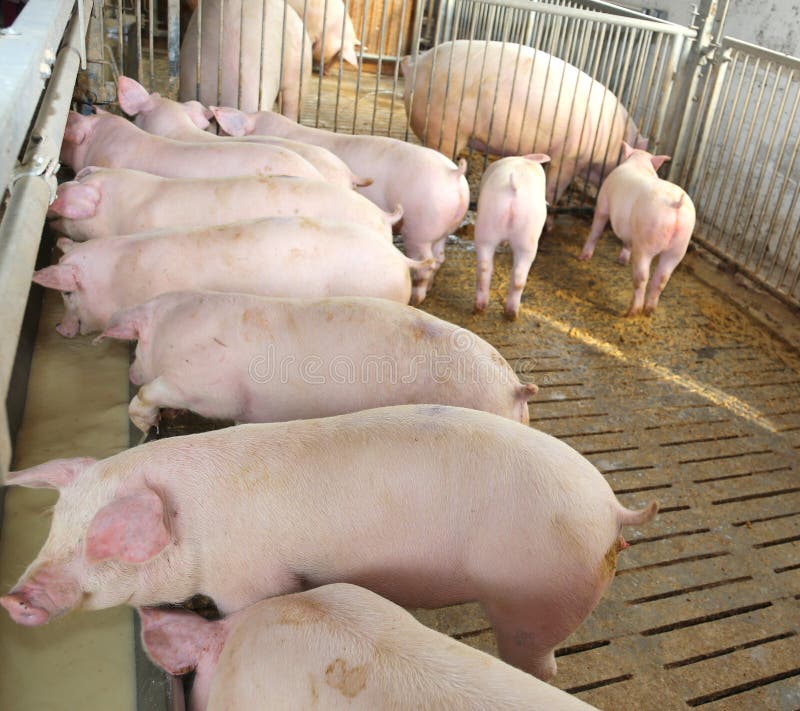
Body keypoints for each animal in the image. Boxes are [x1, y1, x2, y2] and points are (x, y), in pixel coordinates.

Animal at [1, 404, 658, 681]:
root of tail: (612, 510)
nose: (13, 597)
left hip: (537, 600)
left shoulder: (252, 580)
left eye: (102, 543)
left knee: (542, 662)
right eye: (55, 527)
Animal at [98, 291, 536, 432]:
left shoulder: (204, 383)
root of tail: (516, 389)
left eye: (136, 345)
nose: (131, 367)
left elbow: (152, 392)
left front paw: (146, 422)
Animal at [212, 106, 470, 303]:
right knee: (439, 258)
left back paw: (417, 298)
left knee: (426, 261)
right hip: (442, 230)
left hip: (420, 229)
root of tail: (453, 174)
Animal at [579, 143, 696, 316]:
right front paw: (622, 261)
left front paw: (583, 257)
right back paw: (649, 310)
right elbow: (627, 242)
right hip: (679, 247)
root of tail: (675, 203)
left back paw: (632, 311)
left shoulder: (603, 202)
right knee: (662, 278)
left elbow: (596, 231)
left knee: (642, 277)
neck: (639, 163)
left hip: (646, 242)